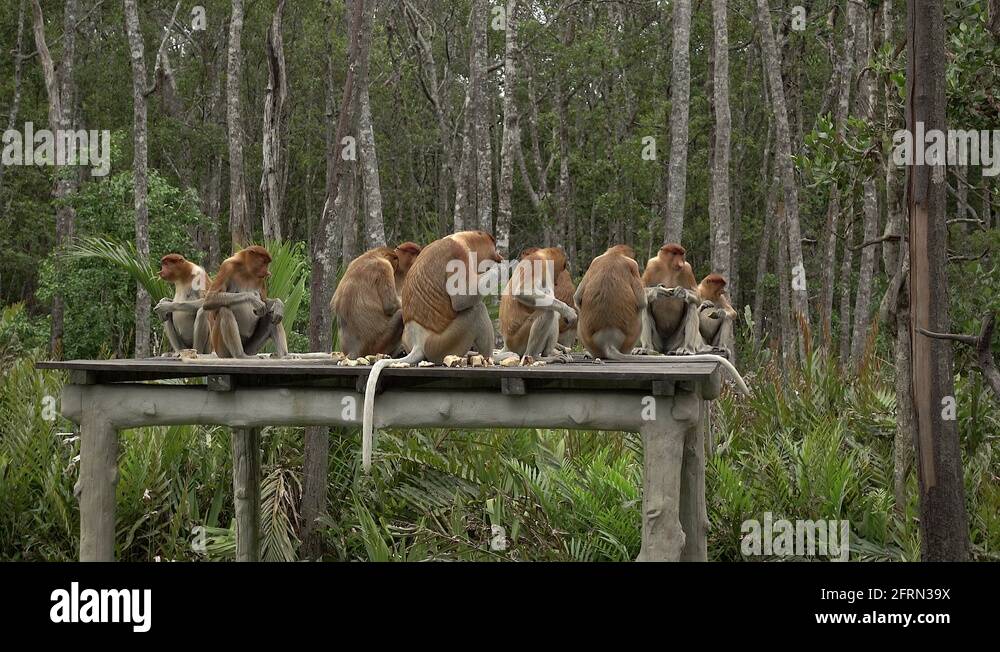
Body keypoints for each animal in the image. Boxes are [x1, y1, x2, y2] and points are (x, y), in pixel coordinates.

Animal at [362, 230, 502, 470]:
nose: (500, 256)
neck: (464, 240)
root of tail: (419, 341)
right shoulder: (458, 256)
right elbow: (461, 300)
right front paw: (499, 270)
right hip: (444, 343)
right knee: (474, 310)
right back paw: (488, 358)